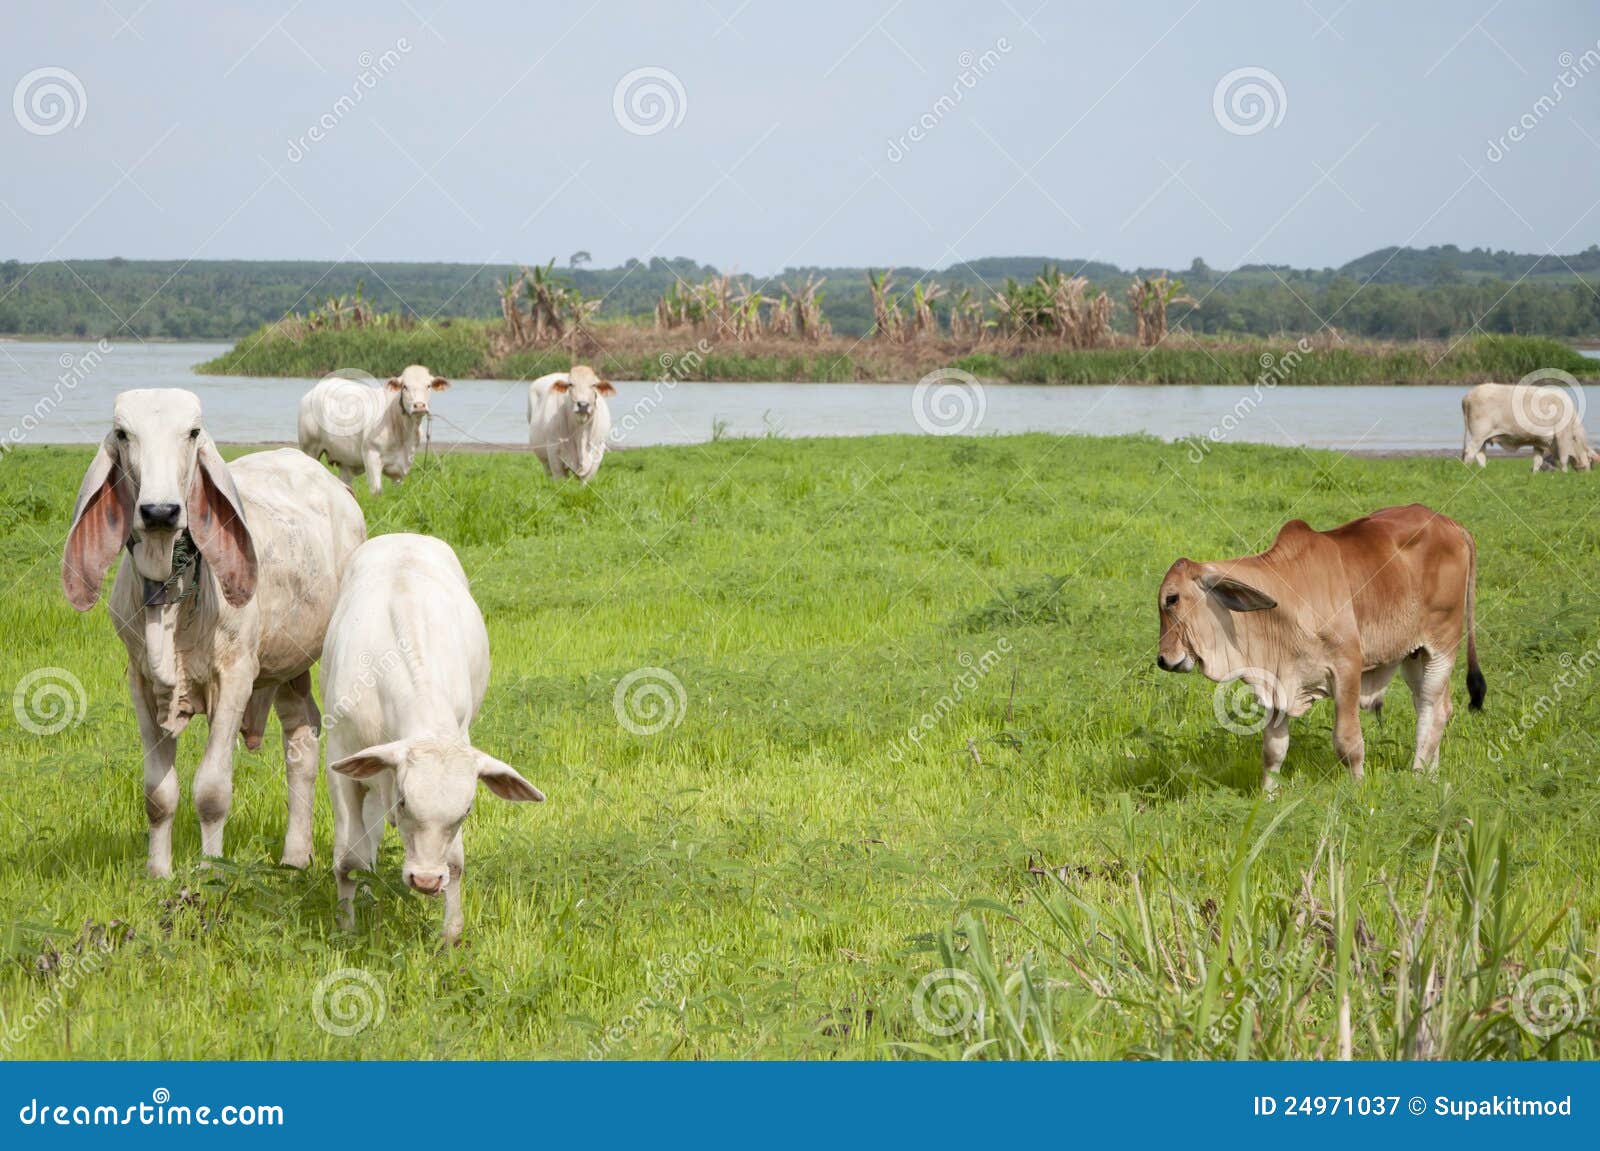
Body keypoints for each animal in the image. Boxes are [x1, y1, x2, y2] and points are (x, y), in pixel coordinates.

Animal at [63, 389, 367, 876]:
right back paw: (295, 856)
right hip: (287, 667)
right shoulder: (140, 681)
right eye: (124, 434)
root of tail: (336, 486)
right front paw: (158, 872)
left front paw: (210, 869)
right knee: (301, 735)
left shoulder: (236, 676)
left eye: (192, 432)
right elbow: (158, 794)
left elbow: (210, 790)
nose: (161, 511)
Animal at [298, 365, 449, 494]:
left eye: (428, 386)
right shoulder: (371, 456)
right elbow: (376, 491)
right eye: (405, 387)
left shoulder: (401, 466)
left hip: (345, 461)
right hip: (309, 448)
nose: (419, 406)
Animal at [322, 533, 544, 945]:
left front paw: (451, 935)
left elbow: (455, 862)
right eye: (405, 803)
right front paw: (347, 929)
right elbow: (349, 858)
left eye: (467, 811)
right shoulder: (341, 758)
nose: (425, 880)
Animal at [1156, 504, 1484, 791]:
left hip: (1442, 645)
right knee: (1433, 706)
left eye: (1172, 599)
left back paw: (1418, 775)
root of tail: (1449, 523)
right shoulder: (1279, 682)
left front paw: (1357, 789)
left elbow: (1348, 742)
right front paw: (1268, 796)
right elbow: (1273, 750)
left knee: (1433, 709)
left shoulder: (1347, 668)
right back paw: (1431, 775)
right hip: (1413, 655)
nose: (1163, 659)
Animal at [1461, 381, 1596, 472]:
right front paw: (1565, 474)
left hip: (1483, 438)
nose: (1588, 472)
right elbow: (1563, 459)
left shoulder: (1540, 441)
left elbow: (1538, 461)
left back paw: (1483, 471)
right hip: (1479, 435)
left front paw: (1534, 475)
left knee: (1480, 455)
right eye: (1590, 460)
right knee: (1470, 452)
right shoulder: (1562, 437)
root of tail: (1468, 395)